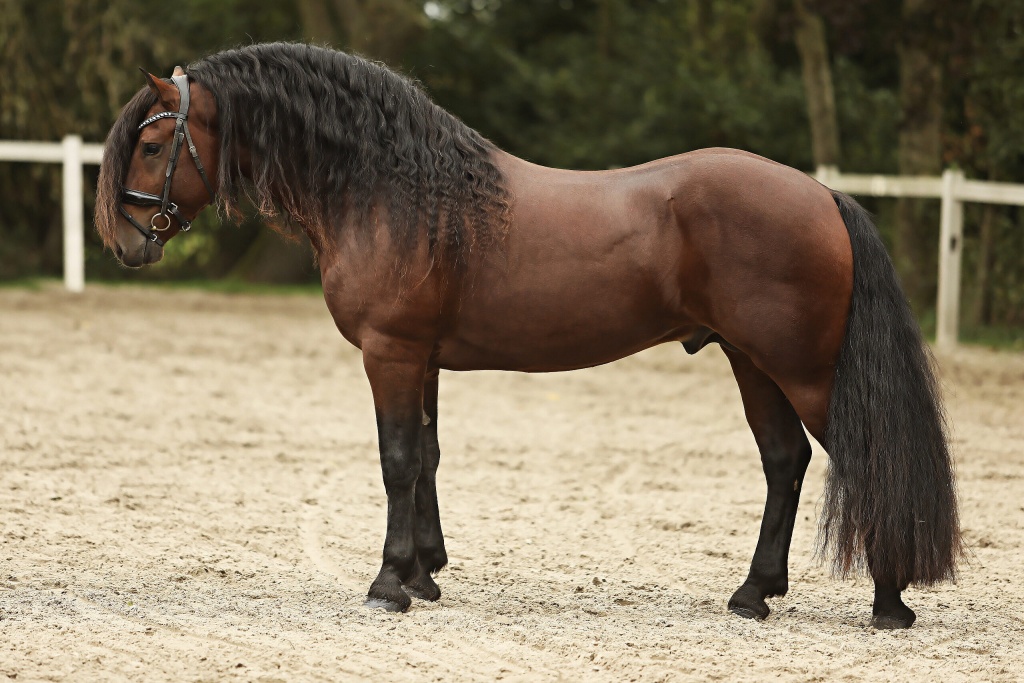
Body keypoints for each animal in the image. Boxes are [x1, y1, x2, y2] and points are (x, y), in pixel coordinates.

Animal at [96, 42, 962, 629]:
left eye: (152, 144)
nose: (127, 242)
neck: (396, 191)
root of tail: (820, 193)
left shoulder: (391, 351)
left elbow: (396, 459)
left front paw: (388, 582)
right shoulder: (424, 357)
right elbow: (428, 457)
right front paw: (425, 574)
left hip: (801, 368)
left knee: (866, 457)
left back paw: (888, 598)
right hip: (752, 362)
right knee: (785, 463)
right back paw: (753, 593)